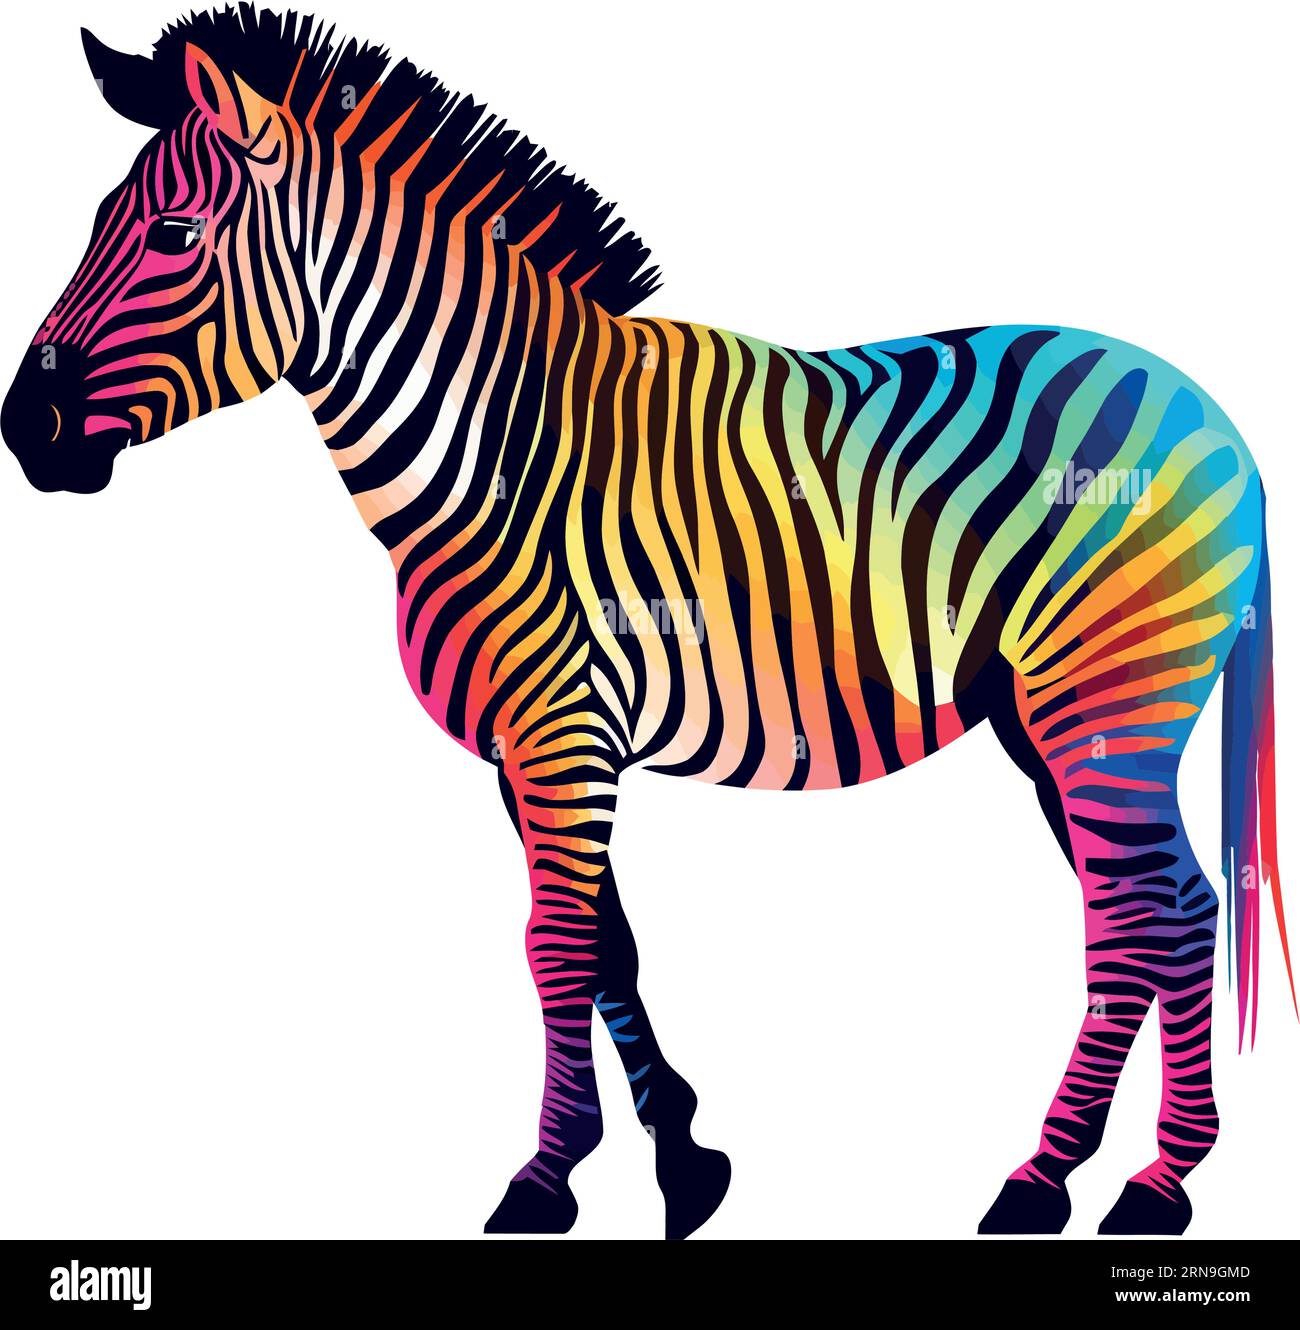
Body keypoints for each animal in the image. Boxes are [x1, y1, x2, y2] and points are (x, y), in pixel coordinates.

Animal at [2, 7, 1291, 1240]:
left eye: (172, 239)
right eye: (96, 221)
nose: (24, 430)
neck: (493, 450)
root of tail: (1211, 411)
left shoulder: (562, 729)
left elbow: (555, 944)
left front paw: (544, 1179)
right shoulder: (529, 747)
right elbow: (605, 943)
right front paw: (684, 1160)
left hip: (1104, 703)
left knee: (1138, 915)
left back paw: (1083, 1180)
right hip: (1046, 717)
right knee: (1172, 908)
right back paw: (1128, 1176)